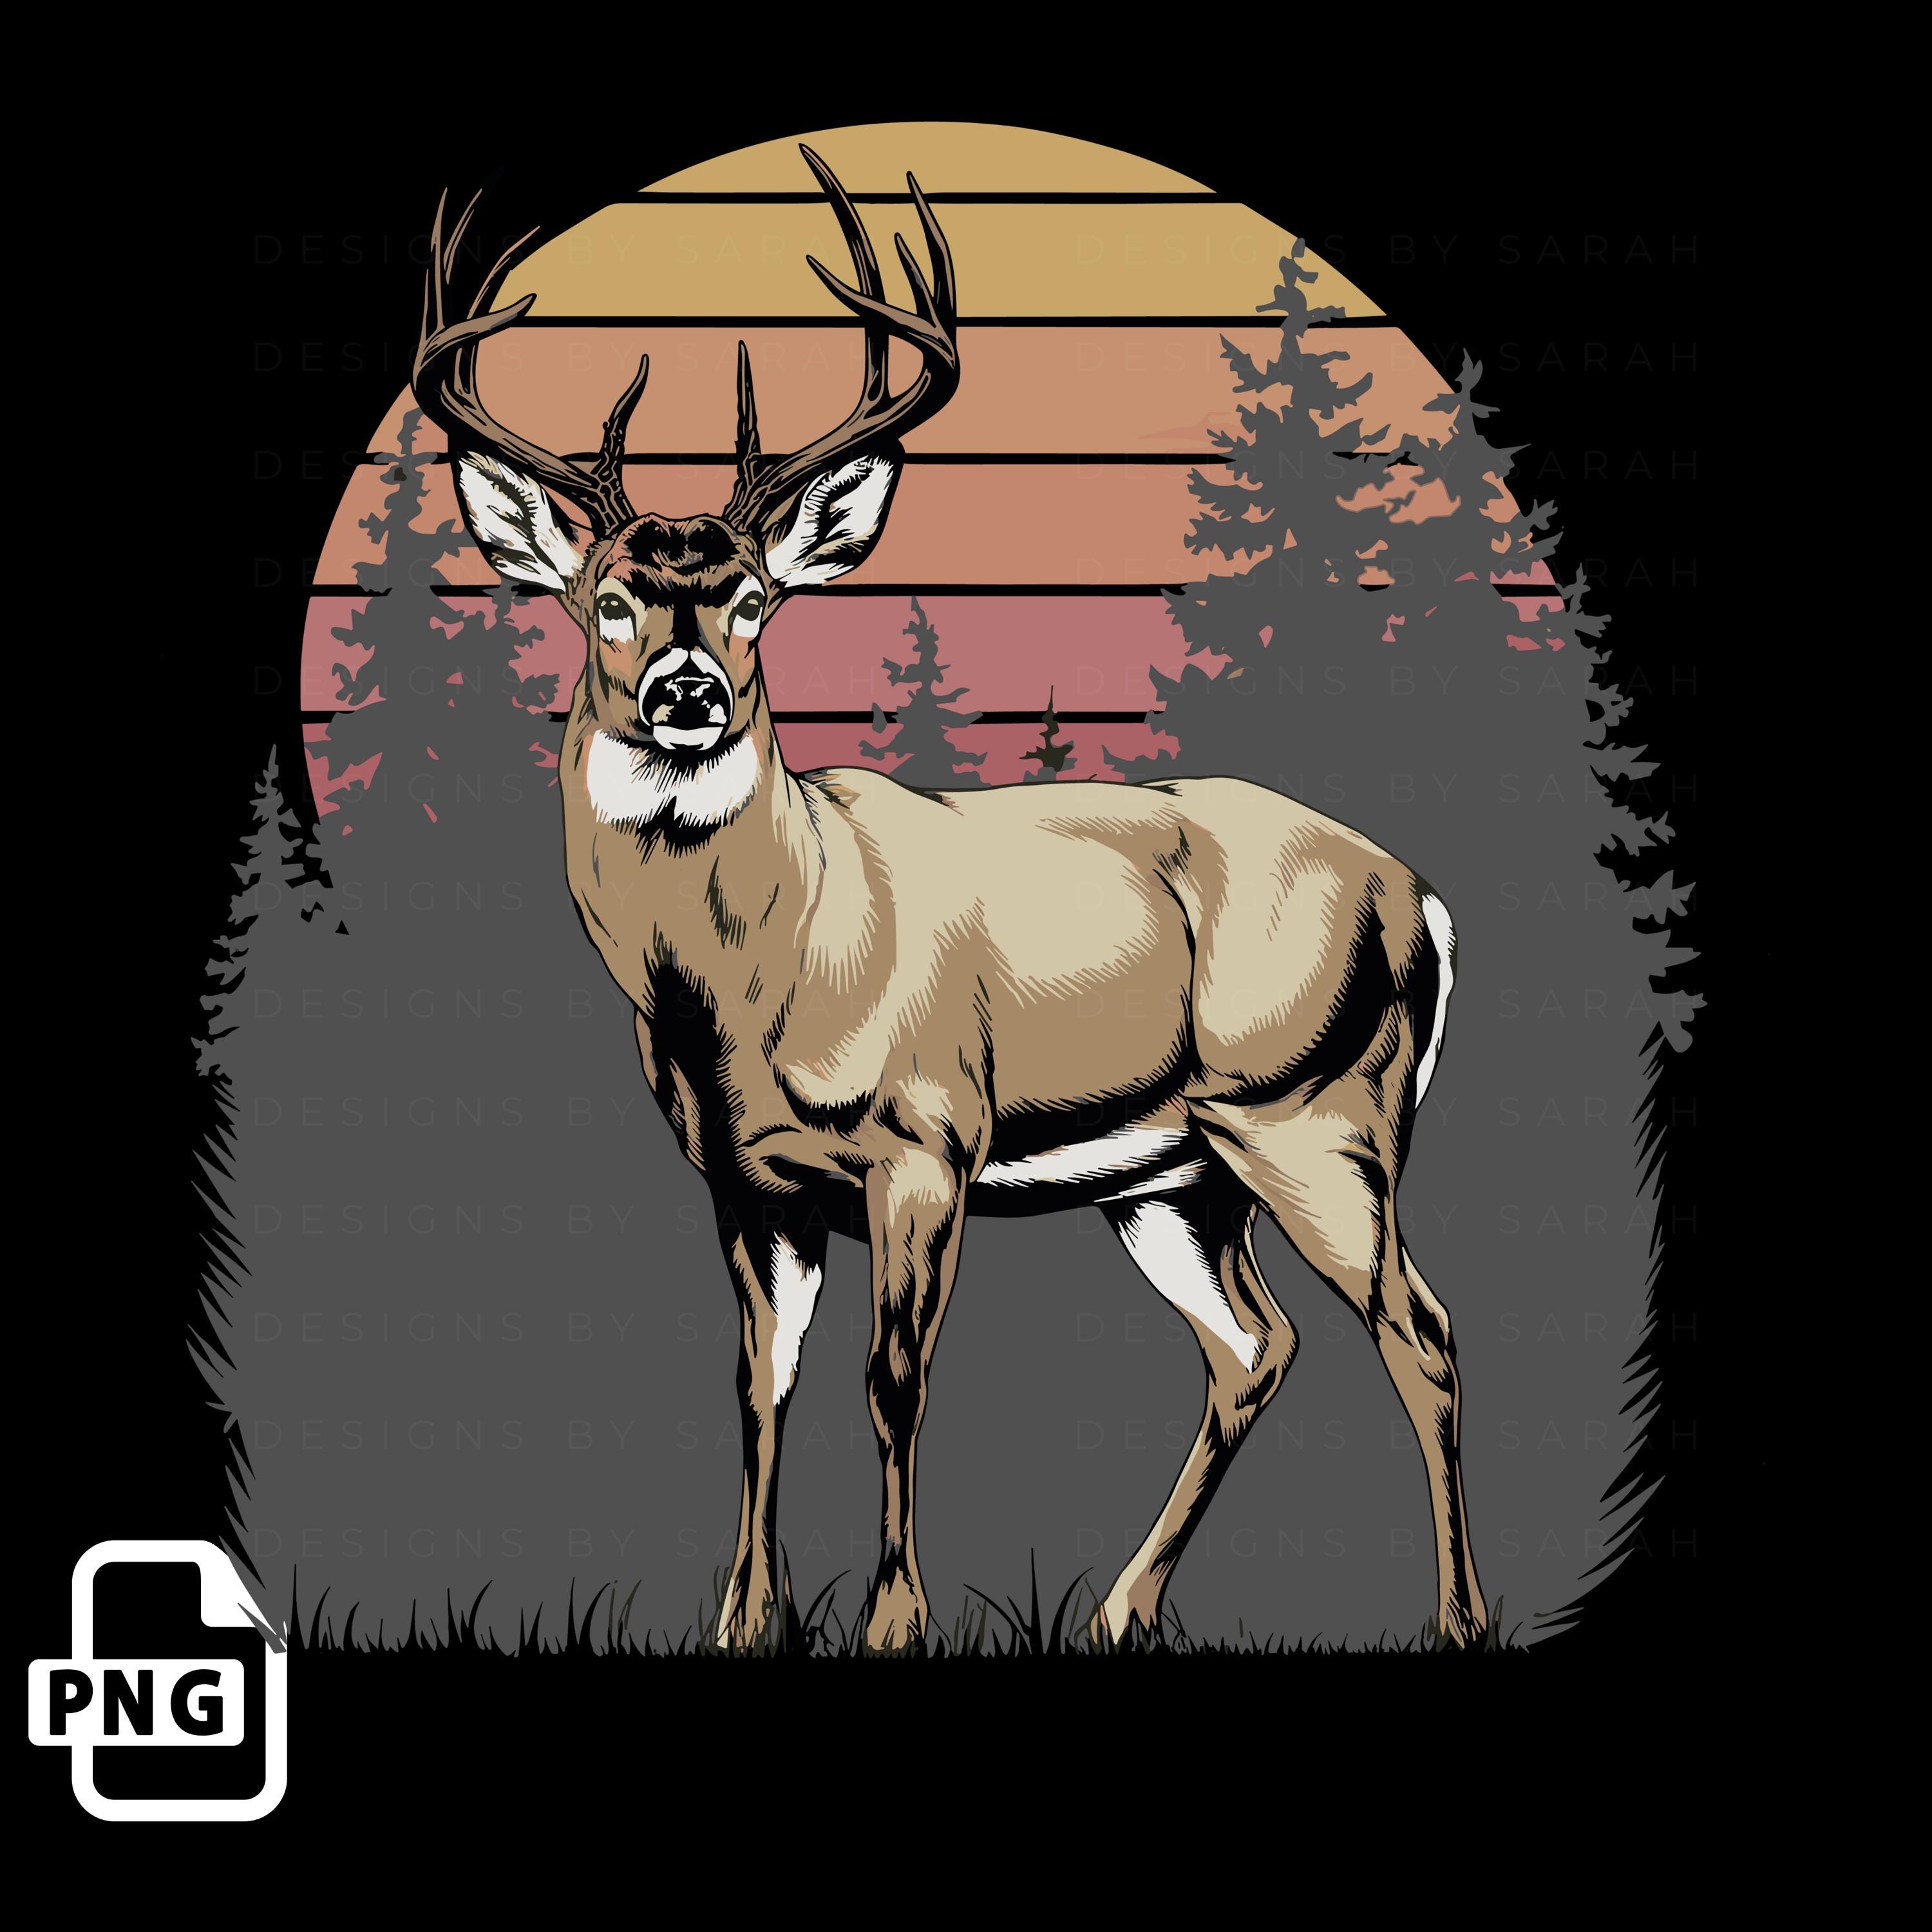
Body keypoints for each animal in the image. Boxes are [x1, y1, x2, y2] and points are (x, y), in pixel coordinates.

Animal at [412, 147, 1489, 1652]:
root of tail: (1423, 895)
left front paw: (893, 1621)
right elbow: (761, 1383)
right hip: (1177, 1173)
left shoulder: (927, 1135)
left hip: (1315, 1108)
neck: (755, 979)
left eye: (755, 600)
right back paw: (1118, 1611)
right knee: (1253, 1344)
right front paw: (743, 1620)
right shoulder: (749, 1181)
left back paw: (1457, 1620)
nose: (688, 690)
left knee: (1421, 1327)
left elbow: (894, 1377)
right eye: (608, 601)